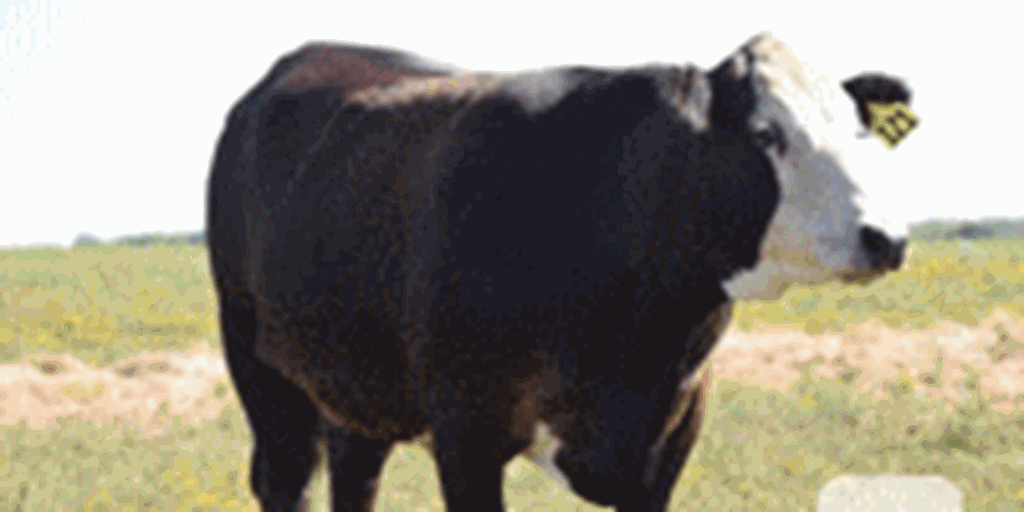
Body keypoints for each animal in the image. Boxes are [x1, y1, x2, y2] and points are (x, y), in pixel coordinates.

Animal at [206, 31, 915, 512]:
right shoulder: (468, 433)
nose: (886, 237)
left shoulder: (666, 442)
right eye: (767, 135)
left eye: (859, 133)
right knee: (284, 480)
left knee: (355, 478)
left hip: (356, 392)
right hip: (259, 368)